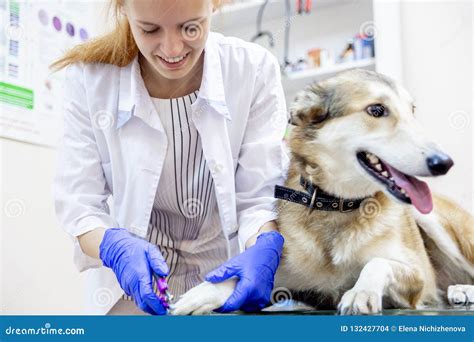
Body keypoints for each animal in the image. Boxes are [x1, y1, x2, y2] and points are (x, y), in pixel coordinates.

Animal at [171, 68, 474, 314]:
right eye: (376, 110)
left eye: (412, 111)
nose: (444, 162)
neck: (338, 205)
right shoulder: (282, 280)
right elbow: (244, 276)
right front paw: (200, 293)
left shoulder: (416, 278)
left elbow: (378, 262)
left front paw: (361, 291)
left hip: (433, 220)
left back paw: (463, 290)